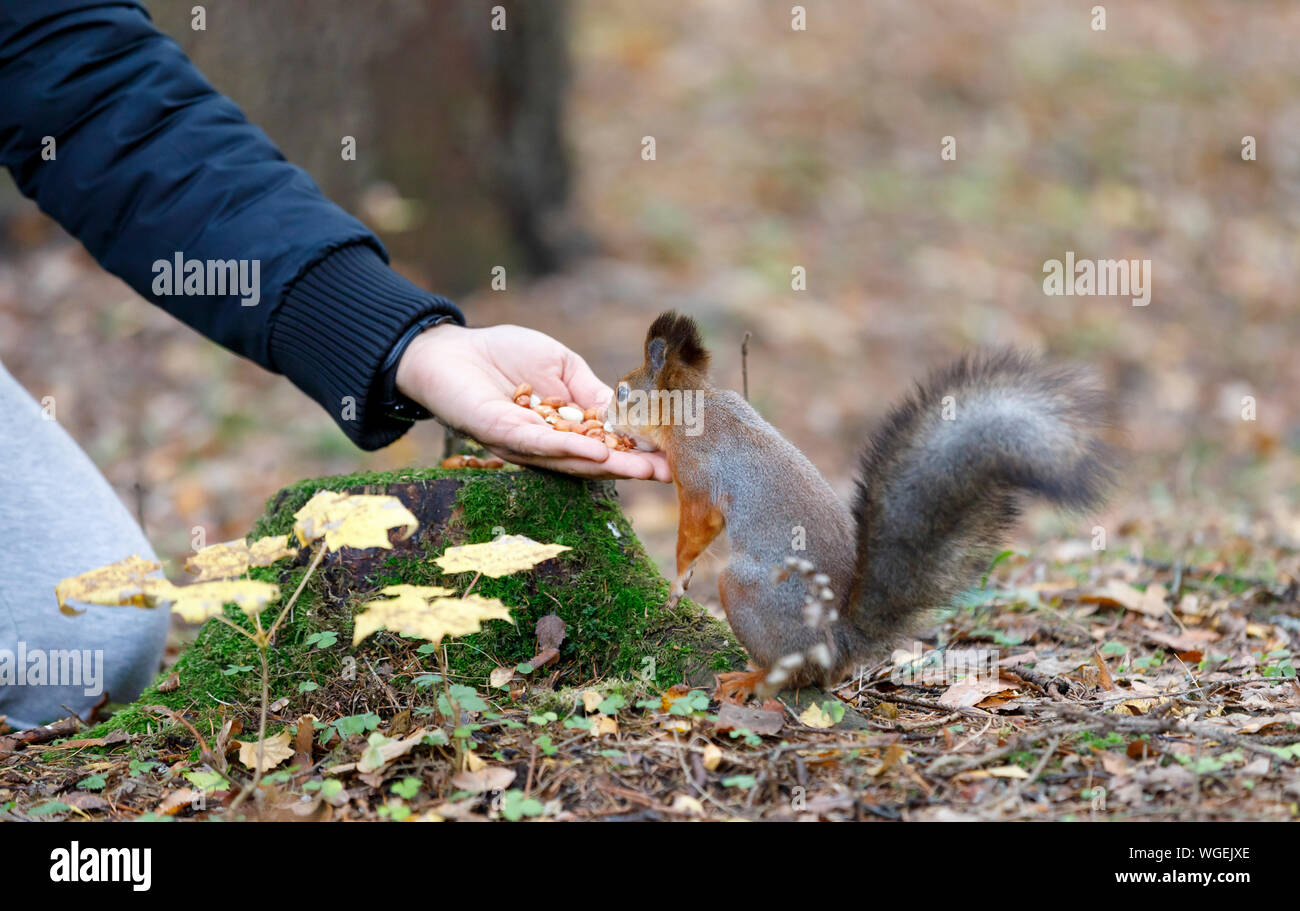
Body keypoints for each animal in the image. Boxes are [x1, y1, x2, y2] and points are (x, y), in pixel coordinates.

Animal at [606, 311, 1114, 702]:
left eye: (623, 393)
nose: (607, 417)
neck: (698, 407)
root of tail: (839, 647)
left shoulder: (698, 474)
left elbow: (695, 530)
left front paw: (677, 581)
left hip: (748, 590)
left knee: (796, 673)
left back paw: (753, 679)